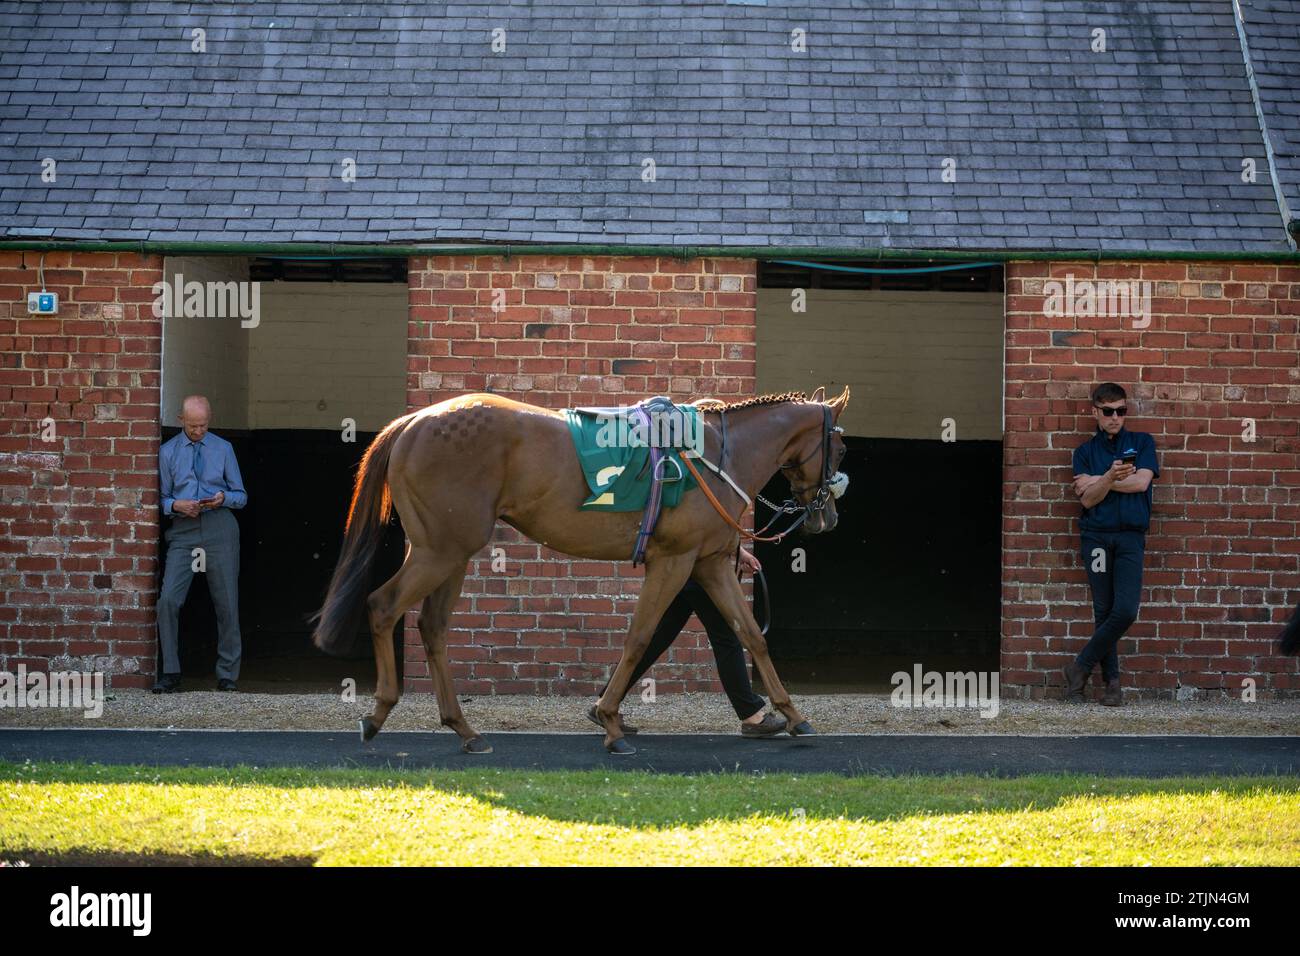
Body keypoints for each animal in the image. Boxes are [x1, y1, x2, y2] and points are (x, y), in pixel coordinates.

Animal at [311, 386, 850, 754]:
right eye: (841, 449)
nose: (826, 518)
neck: (715, 456)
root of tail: (411, 422)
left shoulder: (711, 564)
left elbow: (749, 635)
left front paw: (792, 715)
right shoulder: (673, 561)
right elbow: (639, 637)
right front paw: (611, 723)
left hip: (450, 552)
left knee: (433, 627)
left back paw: (464, 730)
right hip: (440, 550)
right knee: (383, 607)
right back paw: (379, 714)